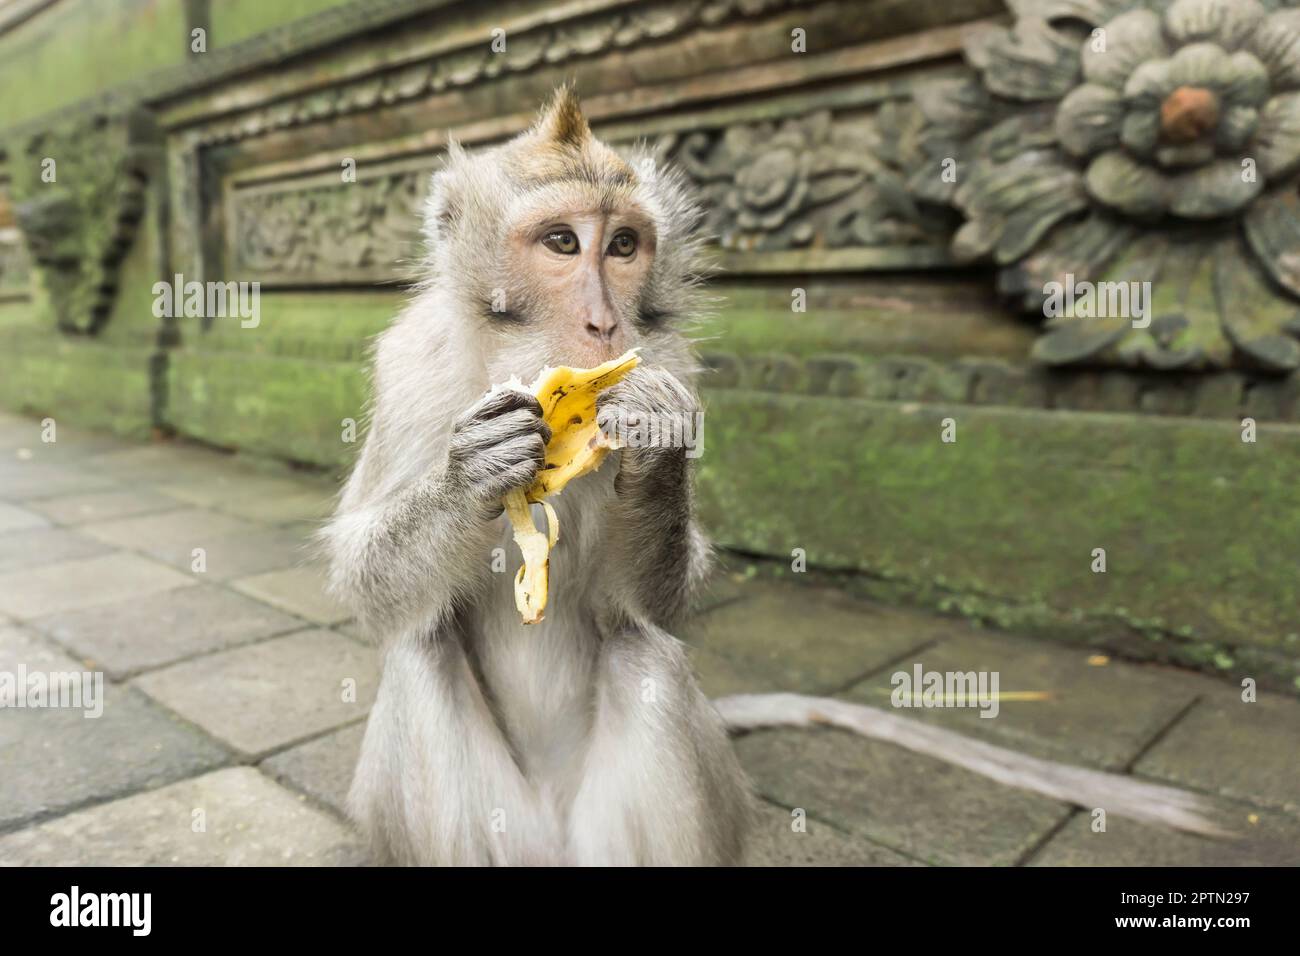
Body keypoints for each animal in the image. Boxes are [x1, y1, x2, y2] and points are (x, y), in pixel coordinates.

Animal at [321, 88, 1223, 866]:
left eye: (623, 245)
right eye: (561, 243)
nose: (604, 323)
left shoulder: (673, 361)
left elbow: (648, 607)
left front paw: (659, 448)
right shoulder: (414, 368)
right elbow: (364, 579)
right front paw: (472, 472)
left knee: (646, 655)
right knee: (421, 648)